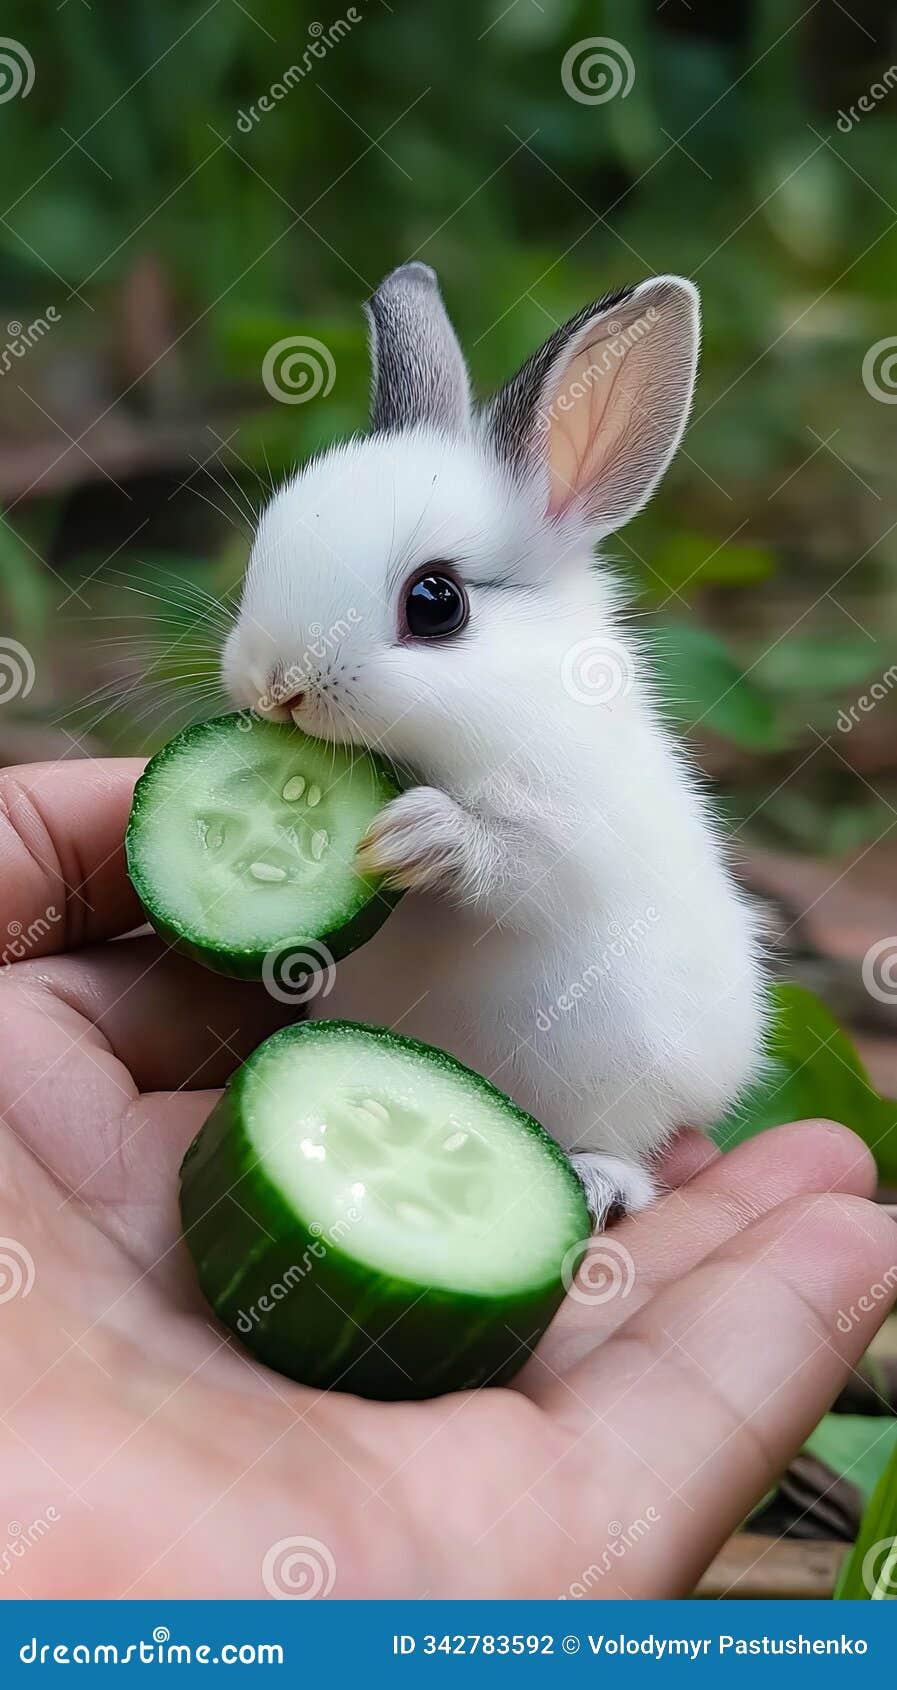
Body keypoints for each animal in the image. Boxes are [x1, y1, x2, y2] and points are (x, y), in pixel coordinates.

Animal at [222, 262, 766, 1226]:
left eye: (435, 603)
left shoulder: (571, 833)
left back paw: (598, 1180)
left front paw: (416, 837)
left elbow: (515, 866)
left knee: (627, 1138)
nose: (275, 687)